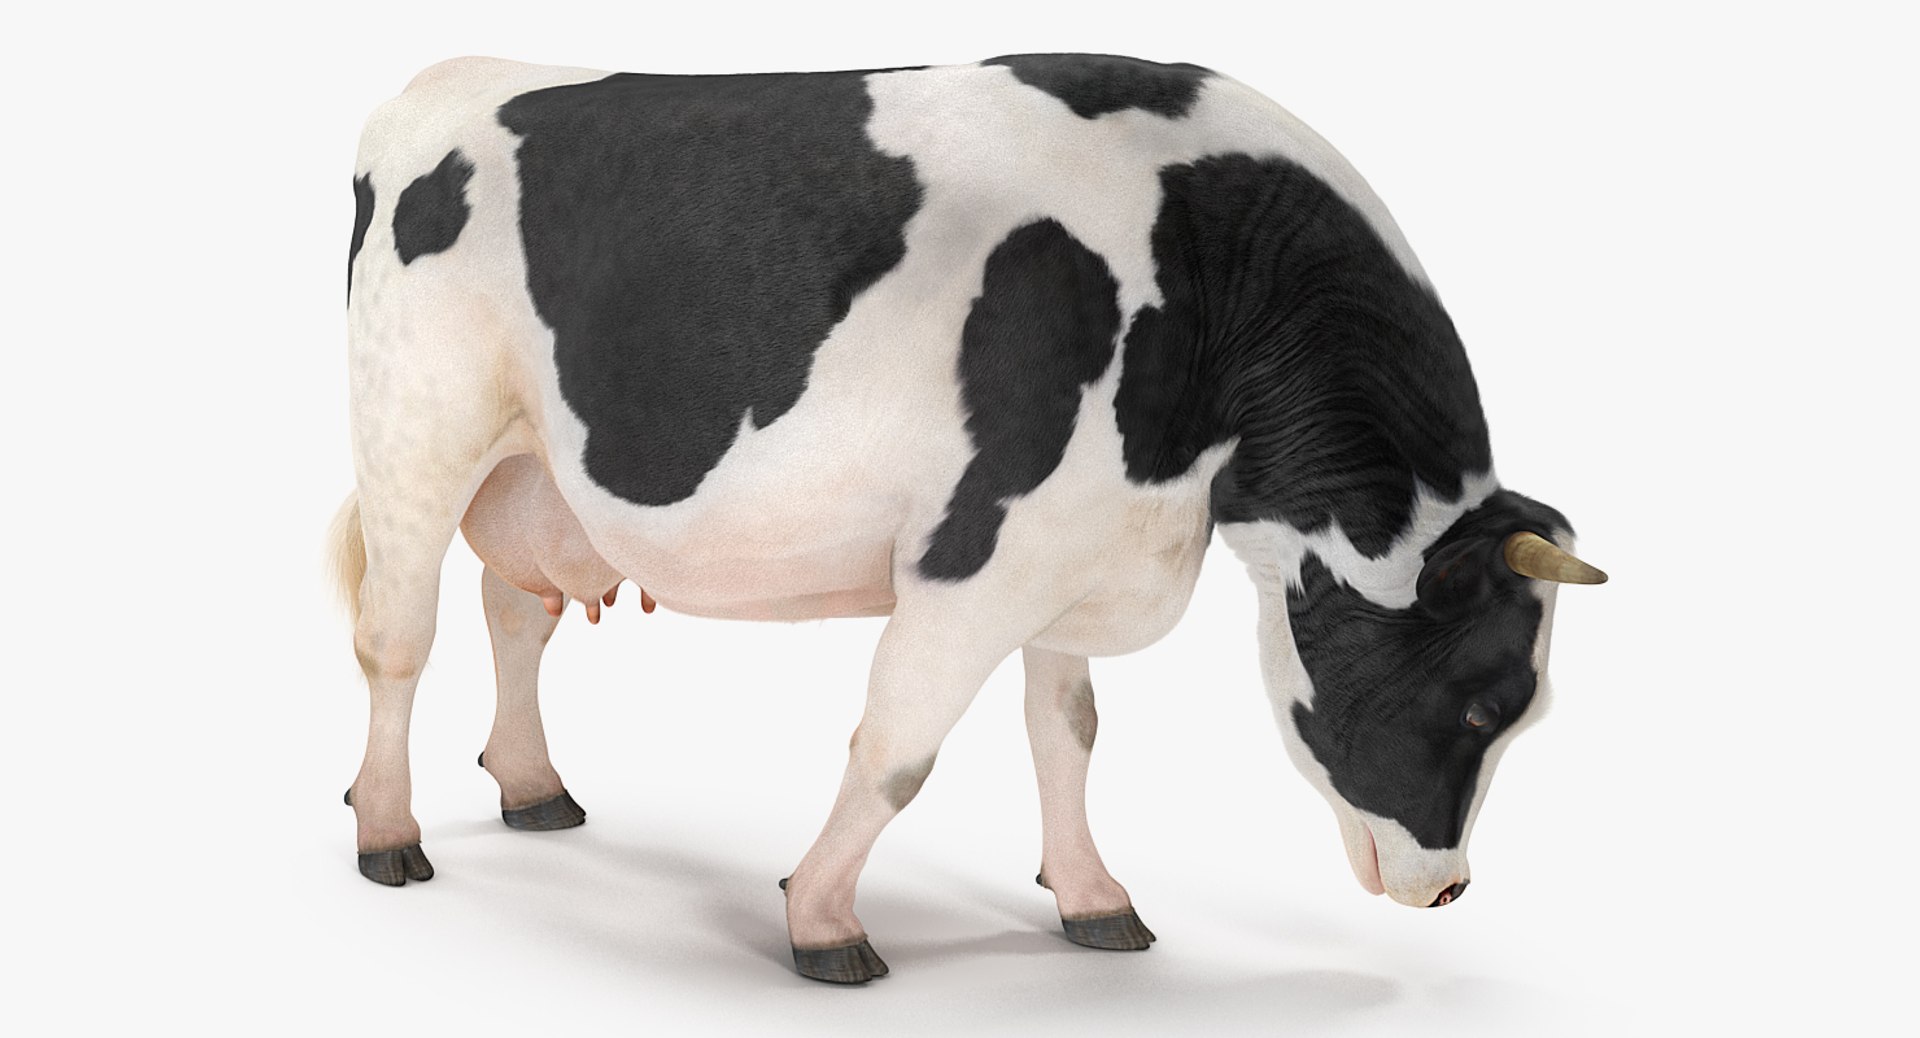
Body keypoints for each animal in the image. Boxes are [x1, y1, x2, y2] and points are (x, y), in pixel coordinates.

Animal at [332, 53, 1606, 984]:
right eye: (1485, 701)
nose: (1449, 888)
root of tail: (437, 83)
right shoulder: (974, 555)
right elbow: (898, 750)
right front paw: (822, 918)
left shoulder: (1072, 549)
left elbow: (1068, 734)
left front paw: (1093, 900)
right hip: (415, 433)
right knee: (398, 638)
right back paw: (386, 832)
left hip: (534, 472)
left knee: (516, 607)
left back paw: (533, 789)